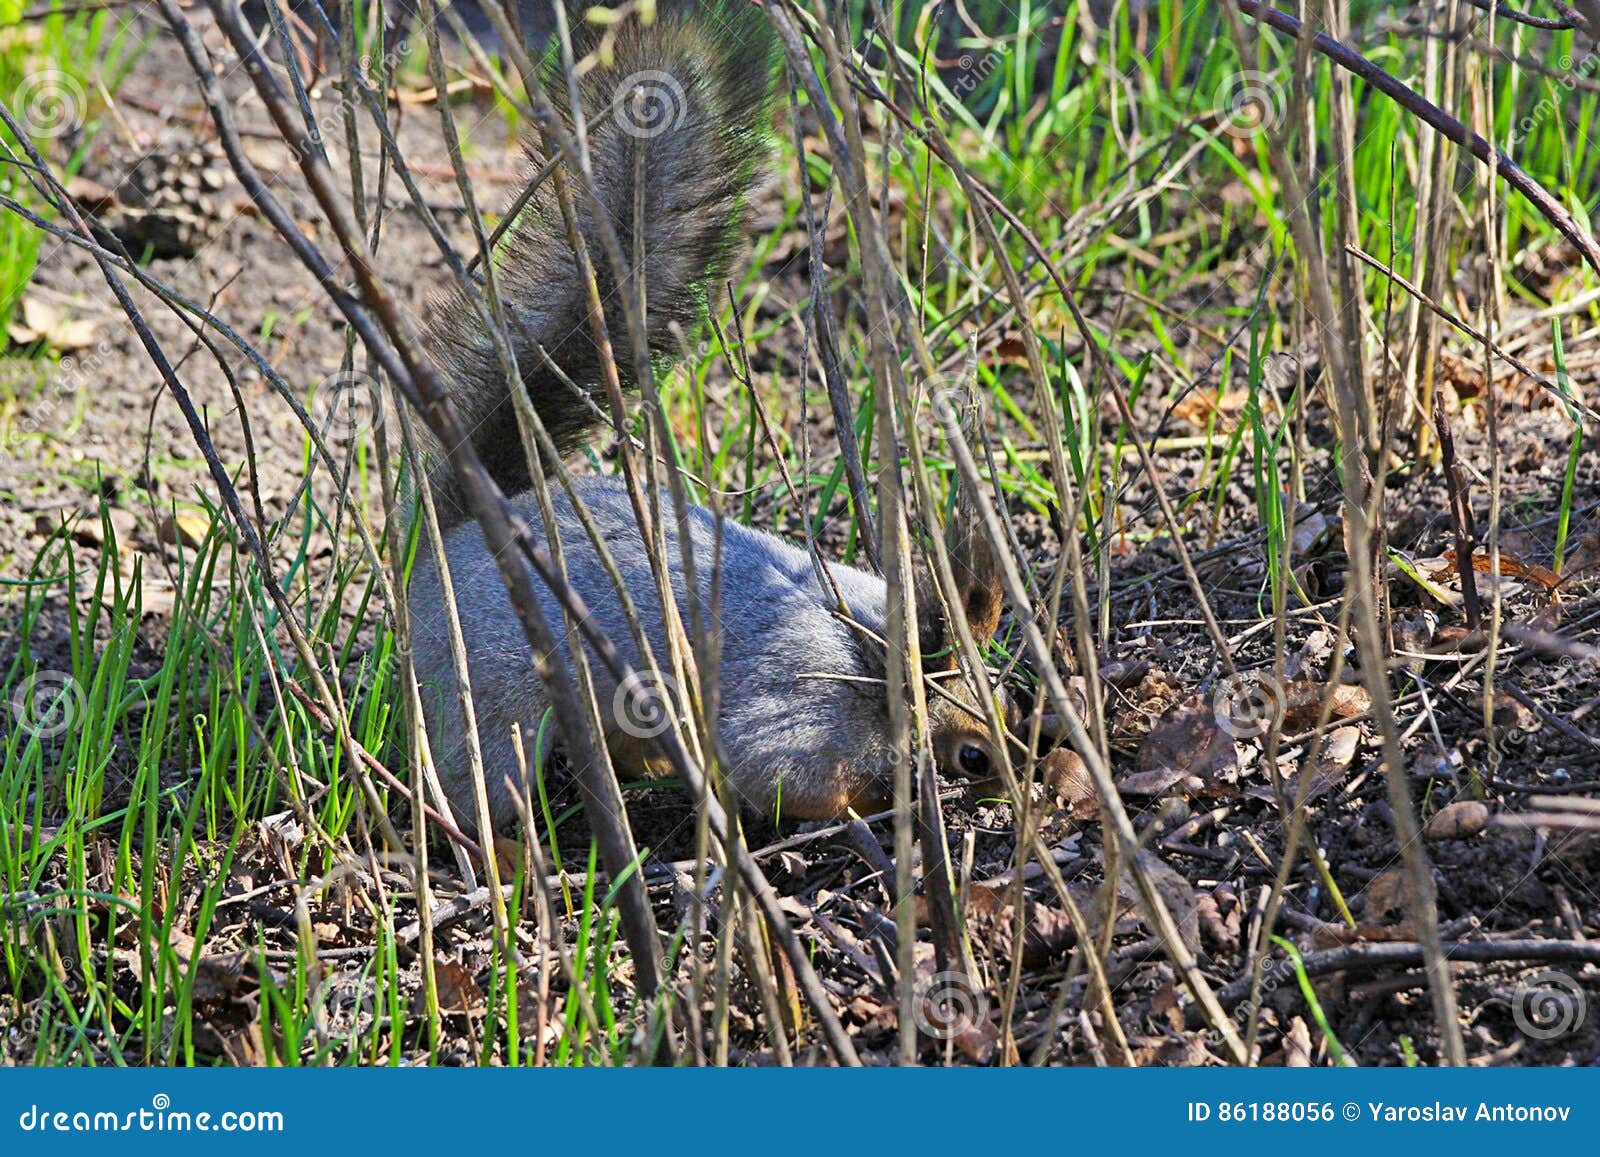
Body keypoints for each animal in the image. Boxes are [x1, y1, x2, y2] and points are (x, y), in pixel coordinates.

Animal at [408, 0, 1027, 837]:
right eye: (971, 753)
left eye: (1012, 705)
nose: (1018, 782)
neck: (869, 655)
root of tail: (465, 527)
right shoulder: (796, 711)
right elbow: (785, 778)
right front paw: (875, 797)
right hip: (490, 690)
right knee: (483, 778)